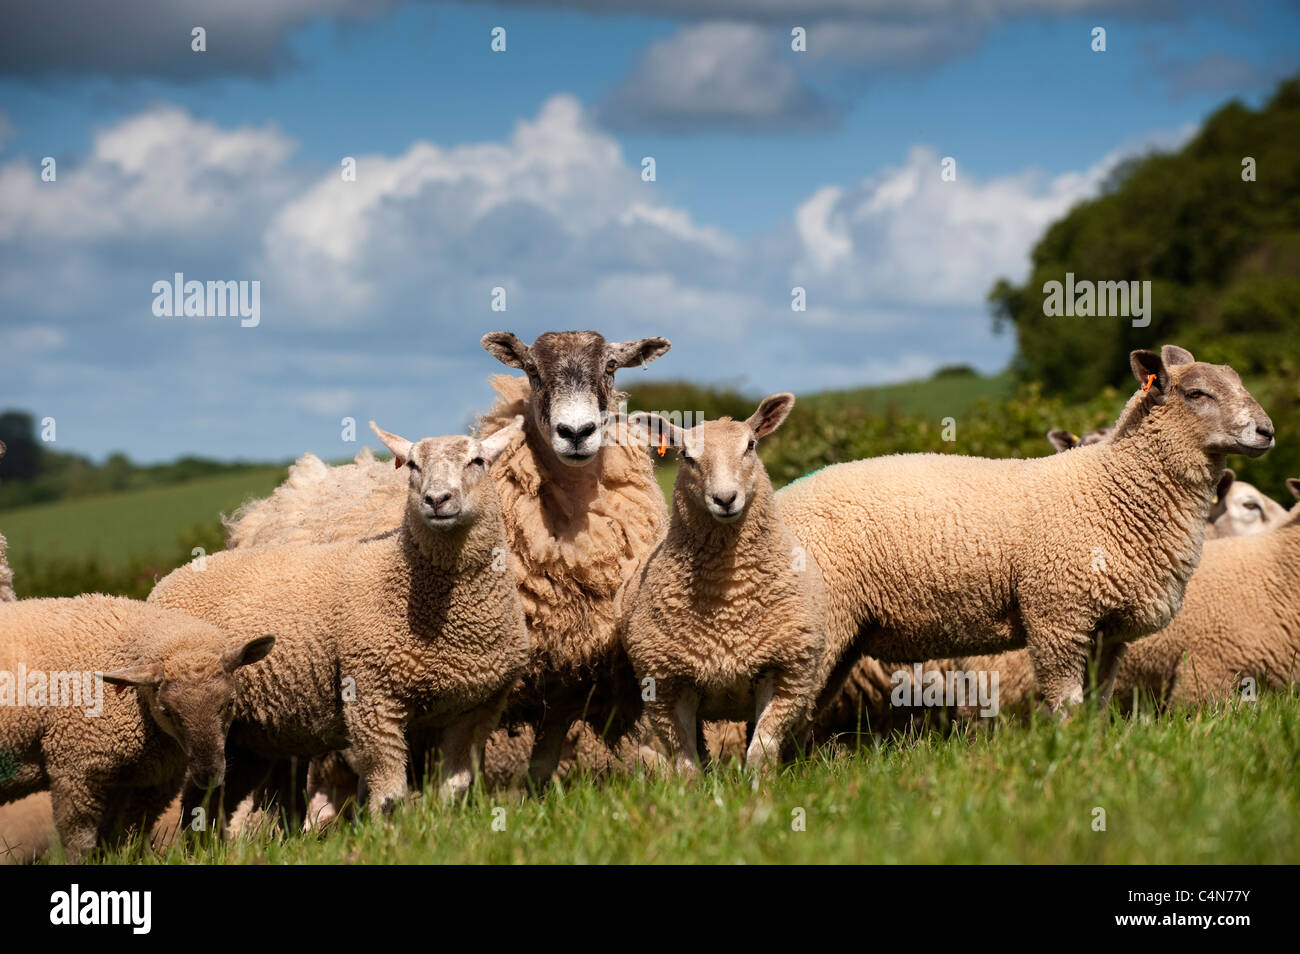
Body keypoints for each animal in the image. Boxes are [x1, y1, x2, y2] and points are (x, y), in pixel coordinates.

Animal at [0, 594, 273, 860]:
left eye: (230, 702)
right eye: (166, 710)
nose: (209, 774)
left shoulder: (148, 781)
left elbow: (128, 837)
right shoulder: (77, 768)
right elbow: (79, 842)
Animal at [148, 419, 530, 820]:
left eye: (477, 461)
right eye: (412, 465)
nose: (437, 500)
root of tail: (172, 578)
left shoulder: (479, 706)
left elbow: (455, 789)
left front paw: (446, 821)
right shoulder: (371, 697)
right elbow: (389, 795)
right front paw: (389, 828)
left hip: (247, 736)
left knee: (219, 798)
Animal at [621, 395, 828, 776]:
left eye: (751, 445)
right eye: (686, 455)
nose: (725, 499)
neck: (727, 601)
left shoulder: (786, 674)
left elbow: (761, 750)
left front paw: (760, 786)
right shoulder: (667, 685)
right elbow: (686, 763)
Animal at [784, 345, 1273, 718]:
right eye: (1196, 393)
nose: (1267, 431)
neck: (1113, 489)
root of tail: (785, 496)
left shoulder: (1109, 632)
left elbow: (1098, 705)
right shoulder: (1057, 614)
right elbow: (1067, 705)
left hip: (846, 639)